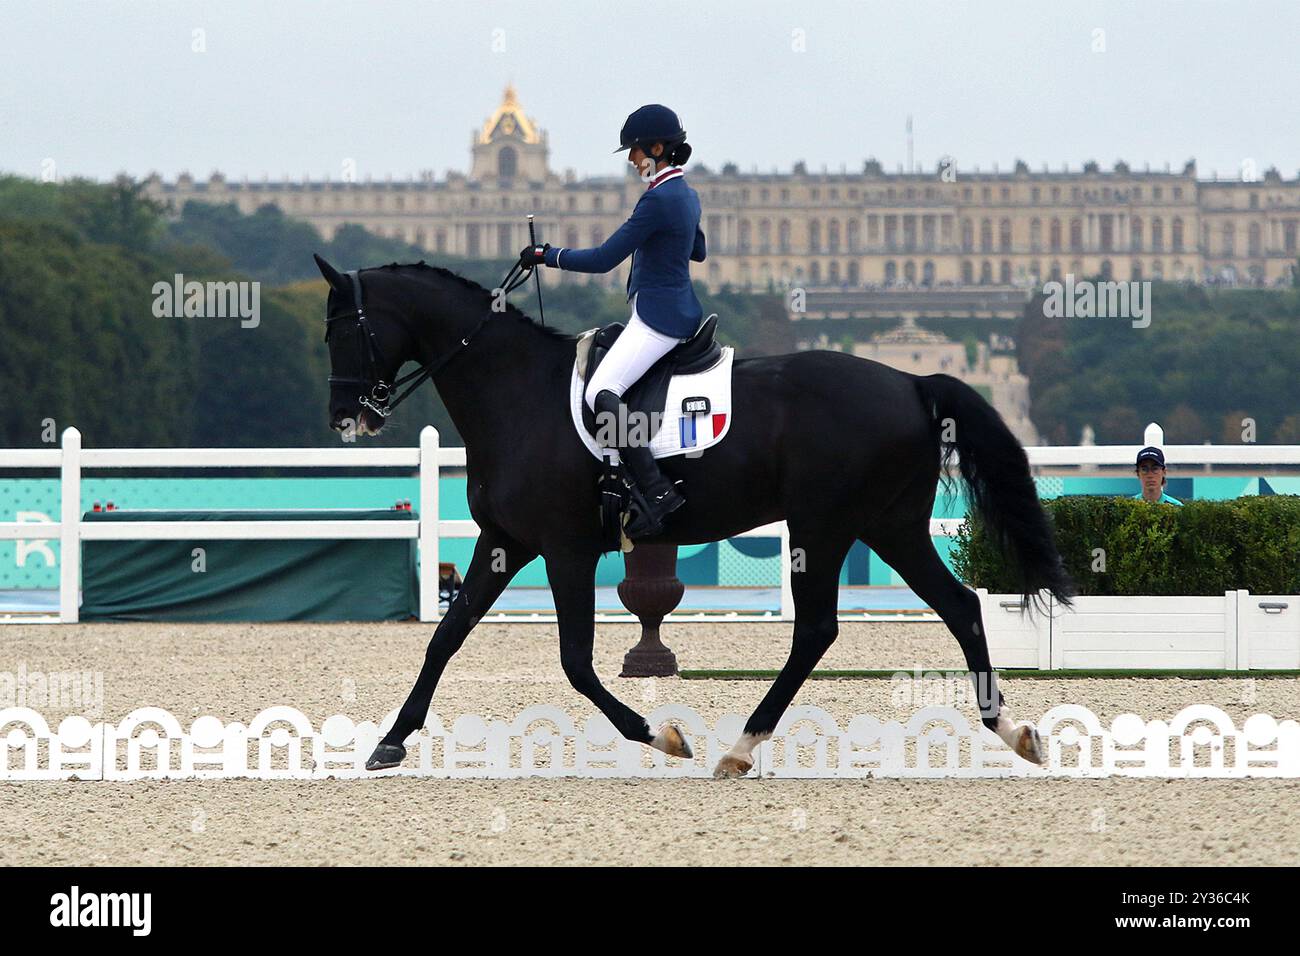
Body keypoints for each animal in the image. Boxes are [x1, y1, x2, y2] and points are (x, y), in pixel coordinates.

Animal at [314, 255, 1074, 777]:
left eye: (344, 331)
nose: (345, 417)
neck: (516, 392)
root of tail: (914, 380)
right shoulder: (505, 542)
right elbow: (446, 635)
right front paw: (390, 741)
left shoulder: (565, 549)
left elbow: (575, 661)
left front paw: (662, 735)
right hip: (888, 526)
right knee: (958, 605)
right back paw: (1013, 732)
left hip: (824, 527)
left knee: (819, 630)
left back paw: (739, 748)